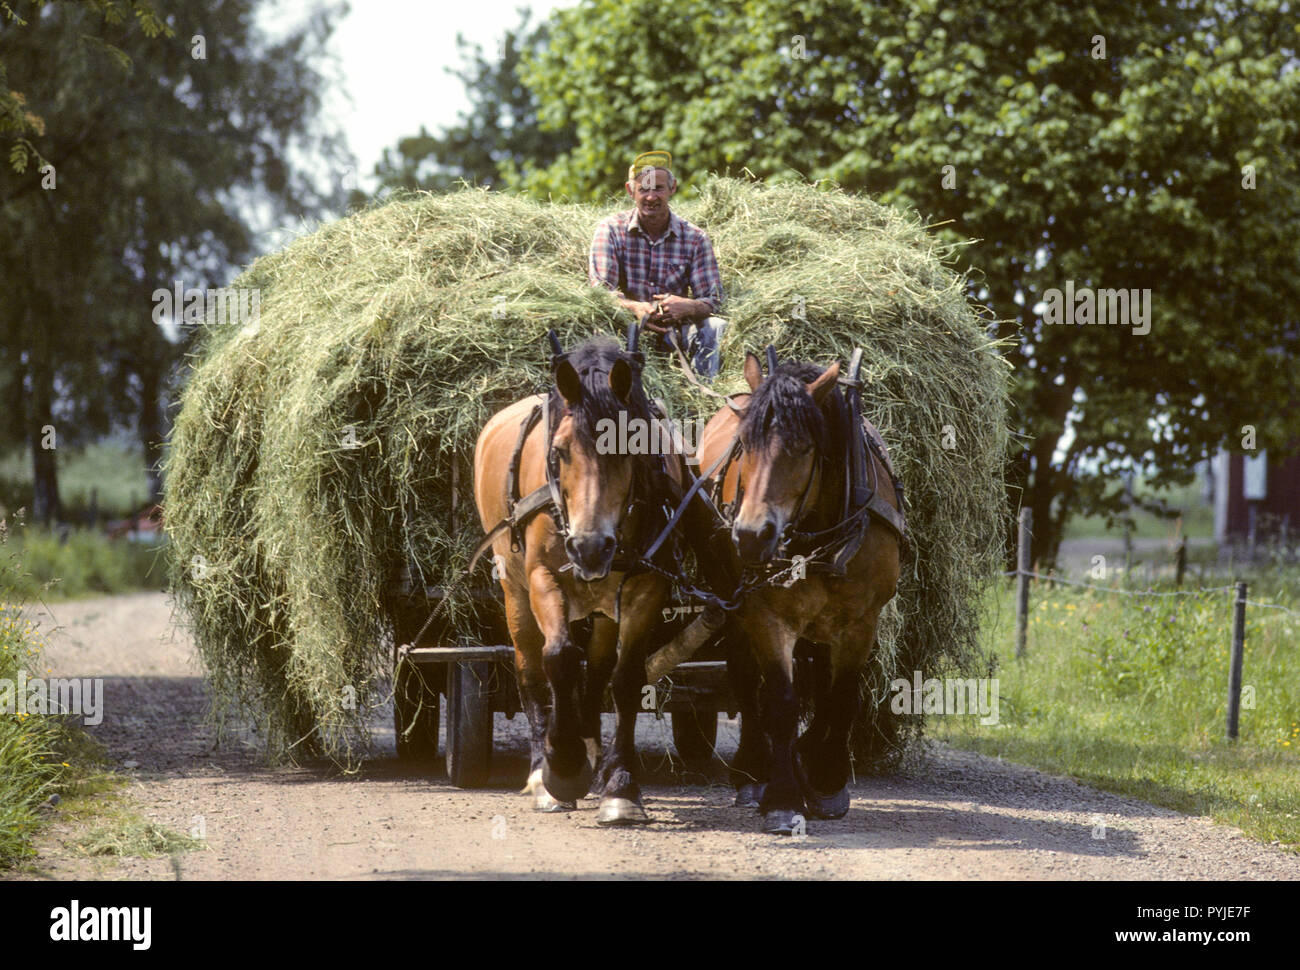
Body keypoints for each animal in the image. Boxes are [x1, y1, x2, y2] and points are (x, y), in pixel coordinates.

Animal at [472, 328, 685, 824]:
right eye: (559, 452)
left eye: (633, 445)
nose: (590, 546)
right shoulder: (543, 577)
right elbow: (560, 658)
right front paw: (562, 767)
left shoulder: (646, 587)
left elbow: (625, 678)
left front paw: (621, 785)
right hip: (514, 590)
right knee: (531, 669)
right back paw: (539, 771)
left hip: (605, 602)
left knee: (600, 666)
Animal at [695, 349, 904, 835]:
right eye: (744, 446)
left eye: (804, 447)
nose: (750, 535)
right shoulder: (765, 615)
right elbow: (781, 701)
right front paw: (784, 796)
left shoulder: (861, 621)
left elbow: (840, 696)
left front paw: (825, 779)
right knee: (744, 676)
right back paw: (753, 771)